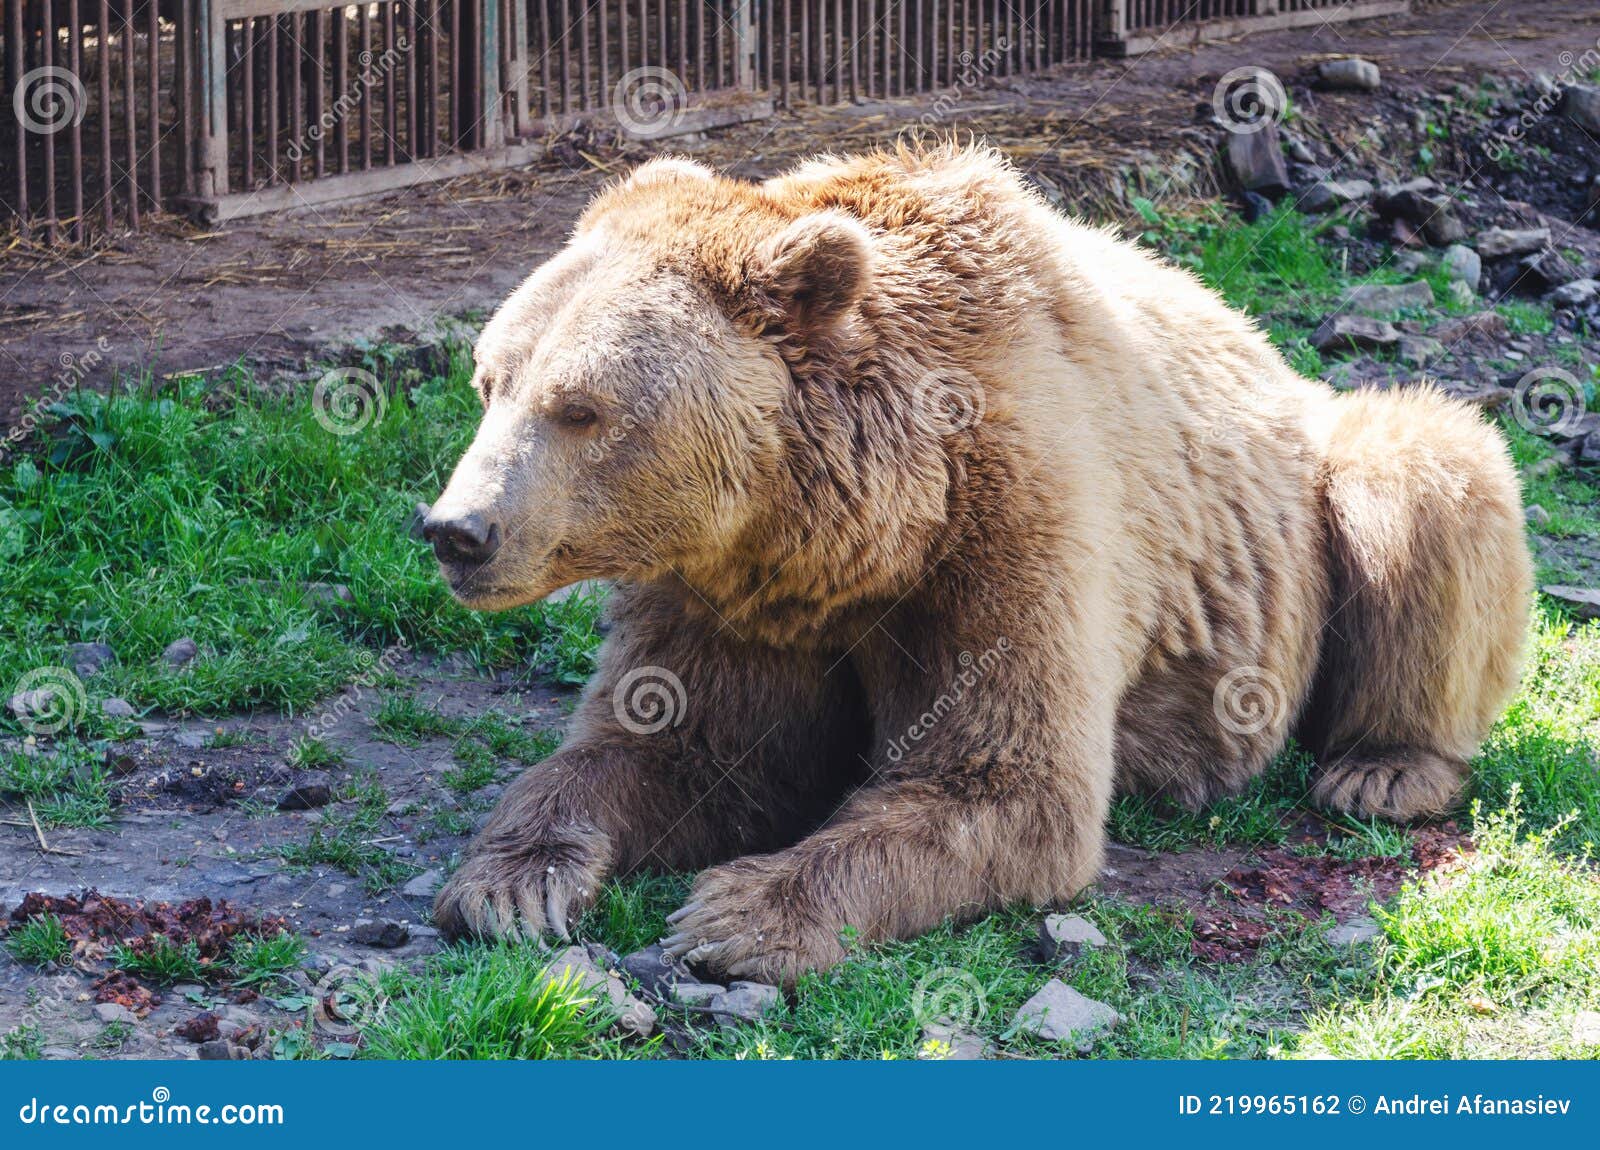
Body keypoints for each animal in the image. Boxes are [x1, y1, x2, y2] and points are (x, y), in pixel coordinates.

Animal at [422, 145, 1532, 986]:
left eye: (581, 408)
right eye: (490, 380)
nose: (456, 530)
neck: (845, 530)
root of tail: (1265, 347)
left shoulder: (1005, 531)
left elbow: (1003, 786)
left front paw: (741, 910)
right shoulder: (726, 591)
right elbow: (678, 748)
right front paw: (512, 880)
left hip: (1320, 484)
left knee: (1425, 470)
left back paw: (1381, 767)